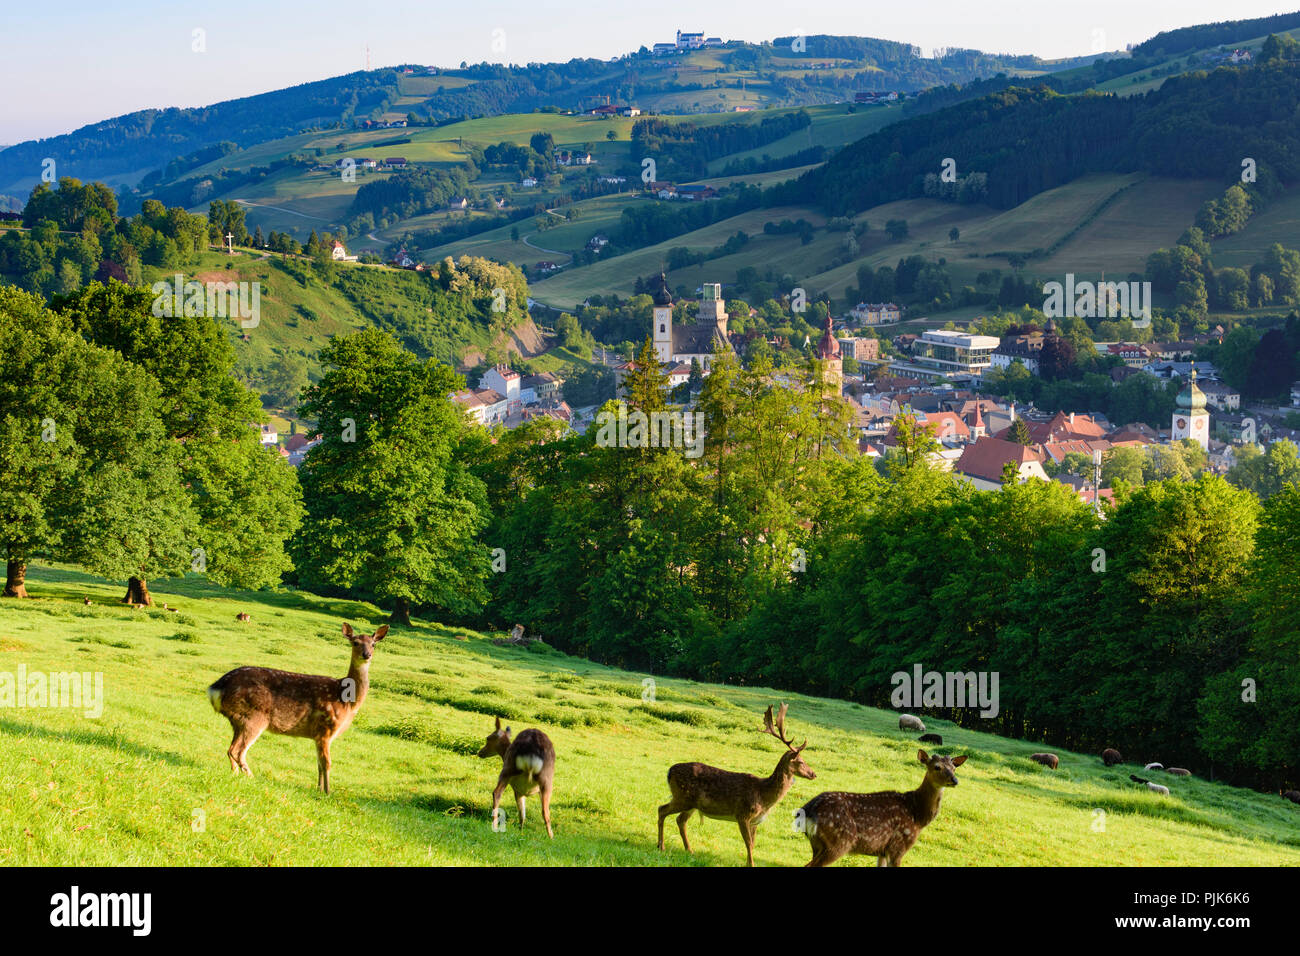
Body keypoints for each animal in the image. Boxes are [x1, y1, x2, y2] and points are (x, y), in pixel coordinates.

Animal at [207, 622, 386, 794]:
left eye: (373, 644)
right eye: (355, 642)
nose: (367, 655)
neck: (346, 700)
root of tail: (215, 688)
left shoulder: (317, 735)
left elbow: (318, 764)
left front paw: (319, 790)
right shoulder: (326, 729)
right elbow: (327, 763)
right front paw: (328, 793)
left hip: (238, 720)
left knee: (231, 749)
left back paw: (236, 773)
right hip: (253, 717)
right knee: (237, 751)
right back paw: (252, 777)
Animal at [657, 703, 815, 867]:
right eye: (800, 761)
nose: (813, 774)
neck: (764, 795)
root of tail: (669, 771)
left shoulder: (755, 822)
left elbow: (752, 844)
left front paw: (747, 863)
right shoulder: (743, 814)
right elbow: (748, 843)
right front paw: (751, 864)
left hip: (691, 804)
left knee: (680, 820)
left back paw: (689, 850)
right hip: (682, 797)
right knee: (661, 809)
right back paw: (661, 846)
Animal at [800, 749, 967, 867]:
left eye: (954, 768)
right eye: (937, 767)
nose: (955, 780)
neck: (917, 816)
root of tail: (807, 810)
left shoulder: (882, 851)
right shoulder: (898, 846)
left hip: (817, 844)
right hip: (839, 842)